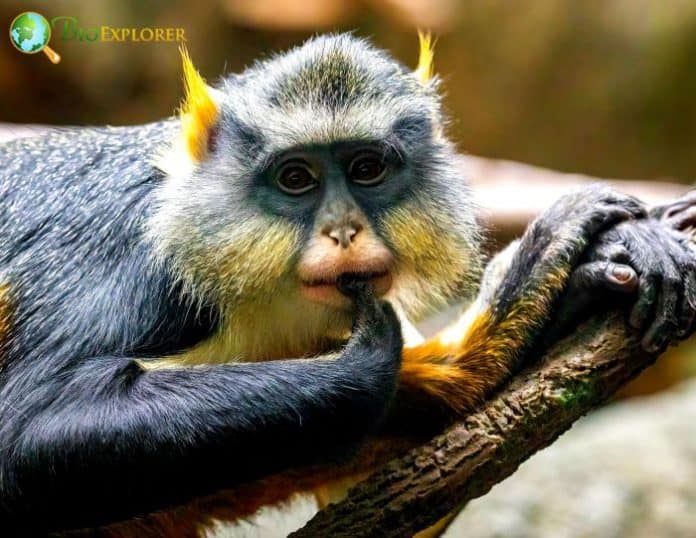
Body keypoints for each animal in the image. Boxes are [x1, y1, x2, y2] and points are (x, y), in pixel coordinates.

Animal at [0, 34, 694, 536]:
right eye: (297, 179)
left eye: (366, 169)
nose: (342, 229)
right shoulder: (137, 268)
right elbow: (33, 433)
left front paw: (577, 277)